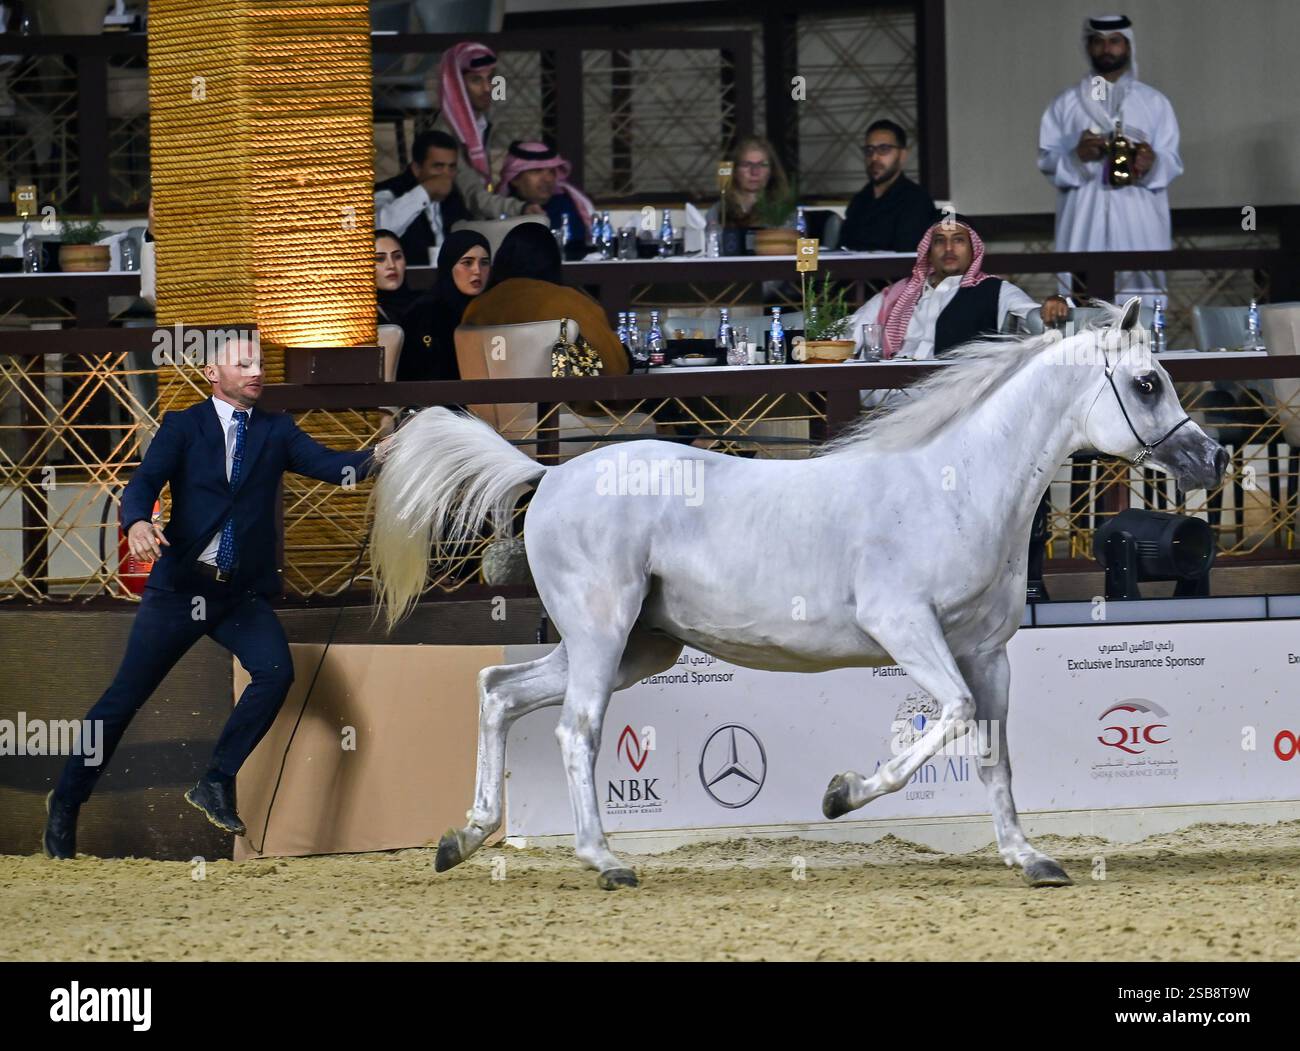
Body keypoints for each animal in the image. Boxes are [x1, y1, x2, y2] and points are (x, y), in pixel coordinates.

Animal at [369, 297, 1226, 890]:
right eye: (1147, 381)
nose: (1212, 458)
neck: (955, 487)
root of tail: (547, 476)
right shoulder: (906, 628)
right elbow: (948, 719)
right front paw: (841, 794)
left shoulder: (988, 653)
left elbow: (991, 749)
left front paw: (1029, 856)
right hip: (603, 636)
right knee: (576, 730)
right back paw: (604, 859)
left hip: (633, 646)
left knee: (498, 688)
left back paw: (463, 838)